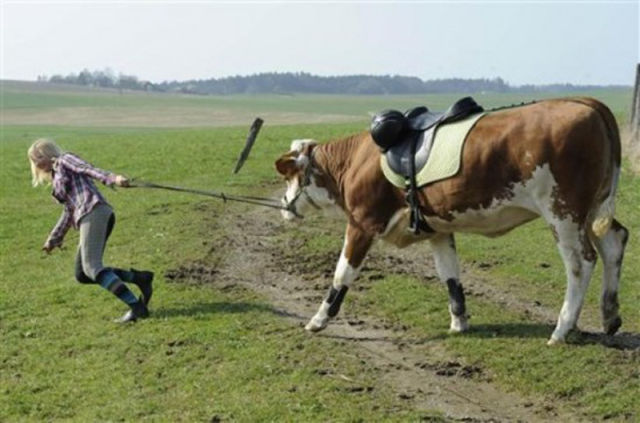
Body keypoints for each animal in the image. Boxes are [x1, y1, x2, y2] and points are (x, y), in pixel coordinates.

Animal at [274, 97, 627, 345]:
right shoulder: (437, 229)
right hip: (591, 211)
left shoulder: (362, 223)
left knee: (581, 262)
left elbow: (341, 275)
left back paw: (562, 328)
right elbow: (450, 276)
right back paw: (609, 315)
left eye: (290, 176)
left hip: (562, 212)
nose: (283, 206)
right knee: (614, 241)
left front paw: (318, 319)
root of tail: (584, 103)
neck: (355, 160)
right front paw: (459, 322)